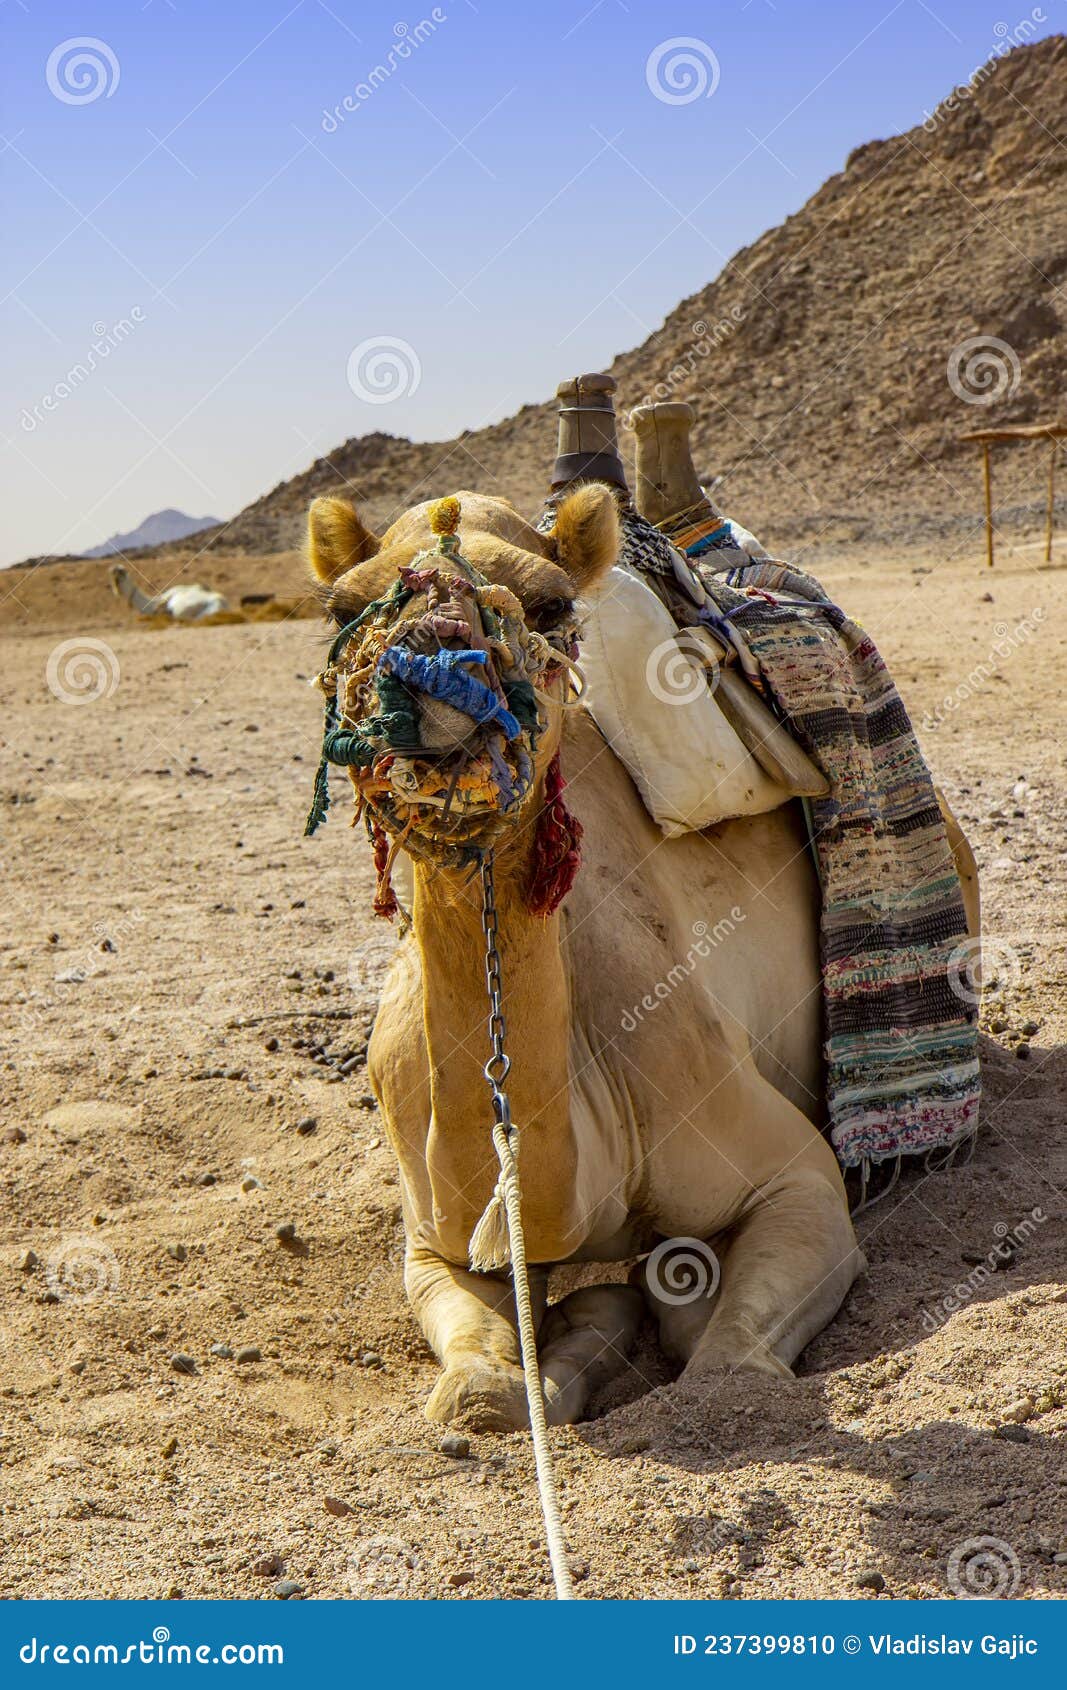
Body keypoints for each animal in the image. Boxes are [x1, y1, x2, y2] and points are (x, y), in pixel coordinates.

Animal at [307, 484, 868, 1431]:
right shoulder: (430, 1241)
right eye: (342, 608)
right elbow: (480, 1394)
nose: (431, 655)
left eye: (548, 605)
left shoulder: (796, 1178)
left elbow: (721, 1360)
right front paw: (562, 1352)